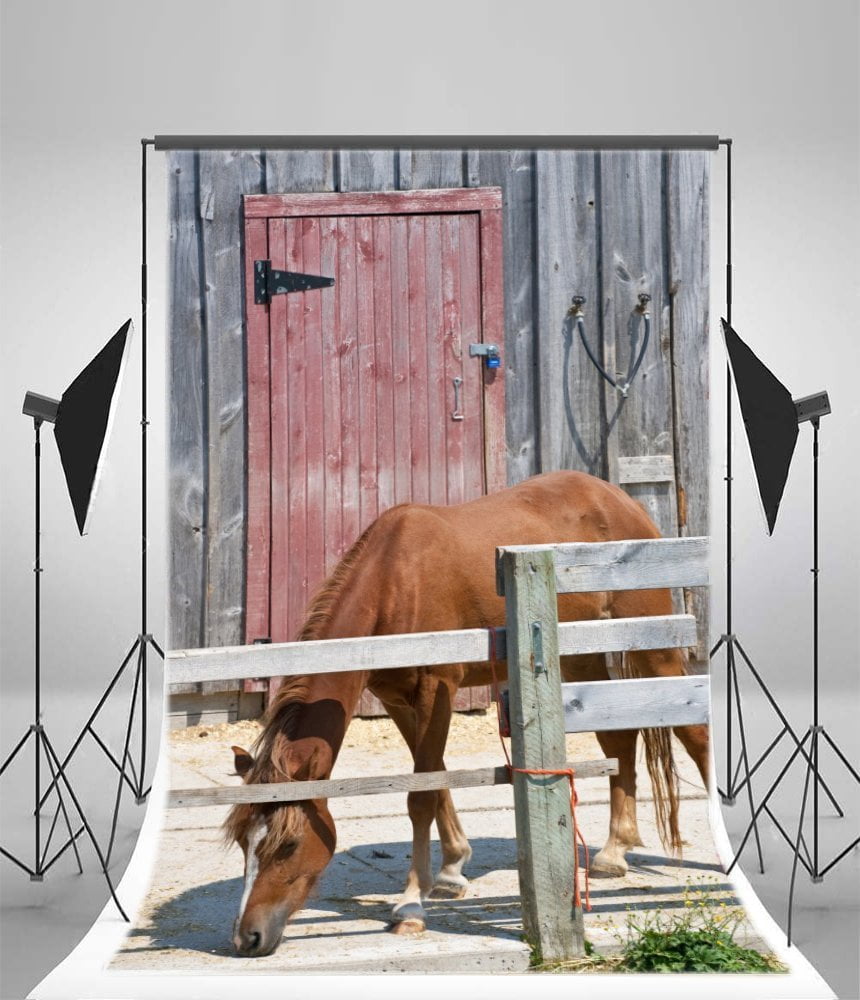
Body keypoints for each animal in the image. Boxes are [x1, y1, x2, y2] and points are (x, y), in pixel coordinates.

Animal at [225, 470, 709, 956]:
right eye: (243, 840)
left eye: (288, 844)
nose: (248, 936)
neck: (395, 582)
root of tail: (619, 500)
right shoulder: (398, 699)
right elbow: (434, 777)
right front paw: (452, 869)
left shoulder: (437, 688)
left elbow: (420, 795)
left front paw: (411, 906)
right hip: (580, 655)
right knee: (617, 738)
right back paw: (614, 850)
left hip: (653, 644)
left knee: (694, 731)